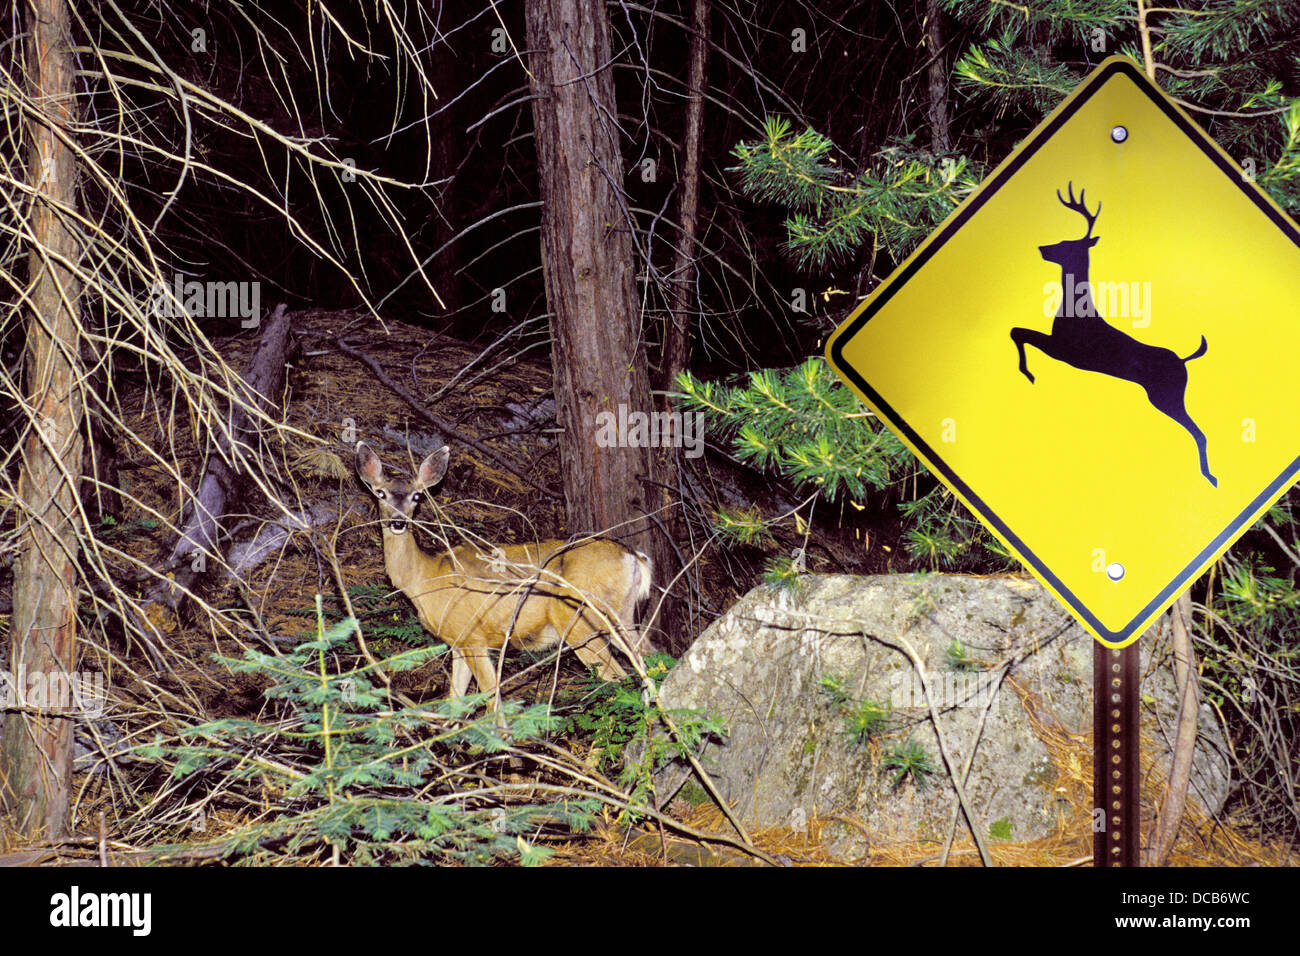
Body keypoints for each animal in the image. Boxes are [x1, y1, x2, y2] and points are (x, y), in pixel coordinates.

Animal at [355, 442, 652, 709]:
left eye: (417, 496)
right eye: (380, 493)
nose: (397, 522)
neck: (425, 579)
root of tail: (634, 558)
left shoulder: (473, 636)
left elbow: (492, 702)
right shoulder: (458, 643)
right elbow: (454, 702)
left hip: (582, 620)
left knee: (618, 677)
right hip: (624, 616)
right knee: (648, 661)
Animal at [1010, 183, 1216, 487]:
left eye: (1066, 244)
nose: (1042, 248)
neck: (1073, 306)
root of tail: (1184, 360)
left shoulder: (1063, 349)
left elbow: (1017, 332)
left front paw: (1028, 373)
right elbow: (1018, 331)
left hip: (1167, 396)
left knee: (1198, 432)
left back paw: (1210, 477)